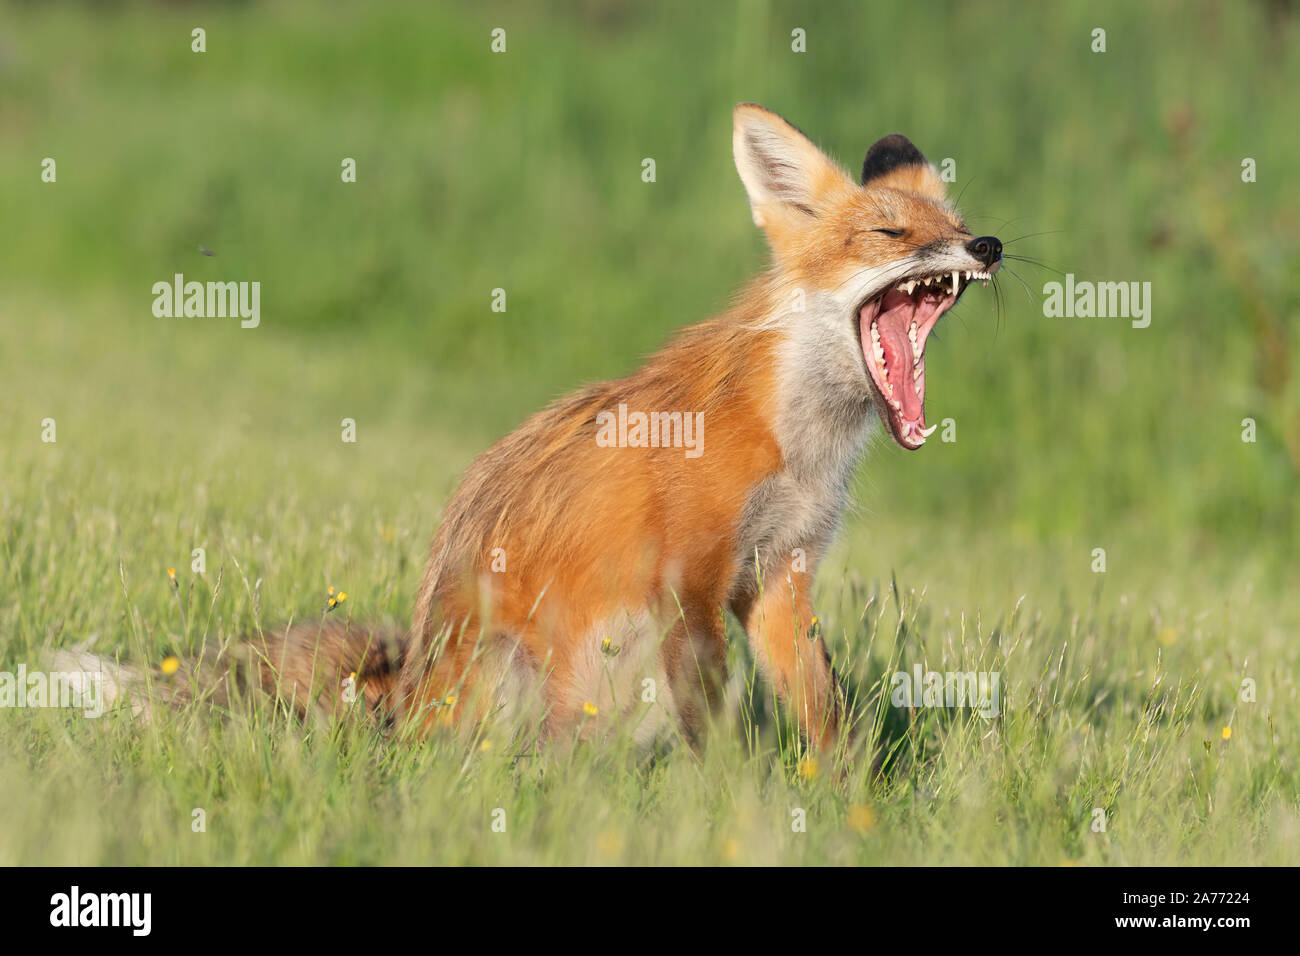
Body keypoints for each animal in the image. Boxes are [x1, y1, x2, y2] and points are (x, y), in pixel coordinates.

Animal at [72, 104, 1000, 754]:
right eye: (889, 233)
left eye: (954, 228)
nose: (988, 246)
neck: (799, 441)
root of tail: (398, 699)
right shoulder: (690, 583)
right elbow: (717, 730)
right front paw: (735, 809)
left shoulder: (778, 577)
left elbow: (826, 715)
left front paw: (848, 810)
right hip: (512, 667)